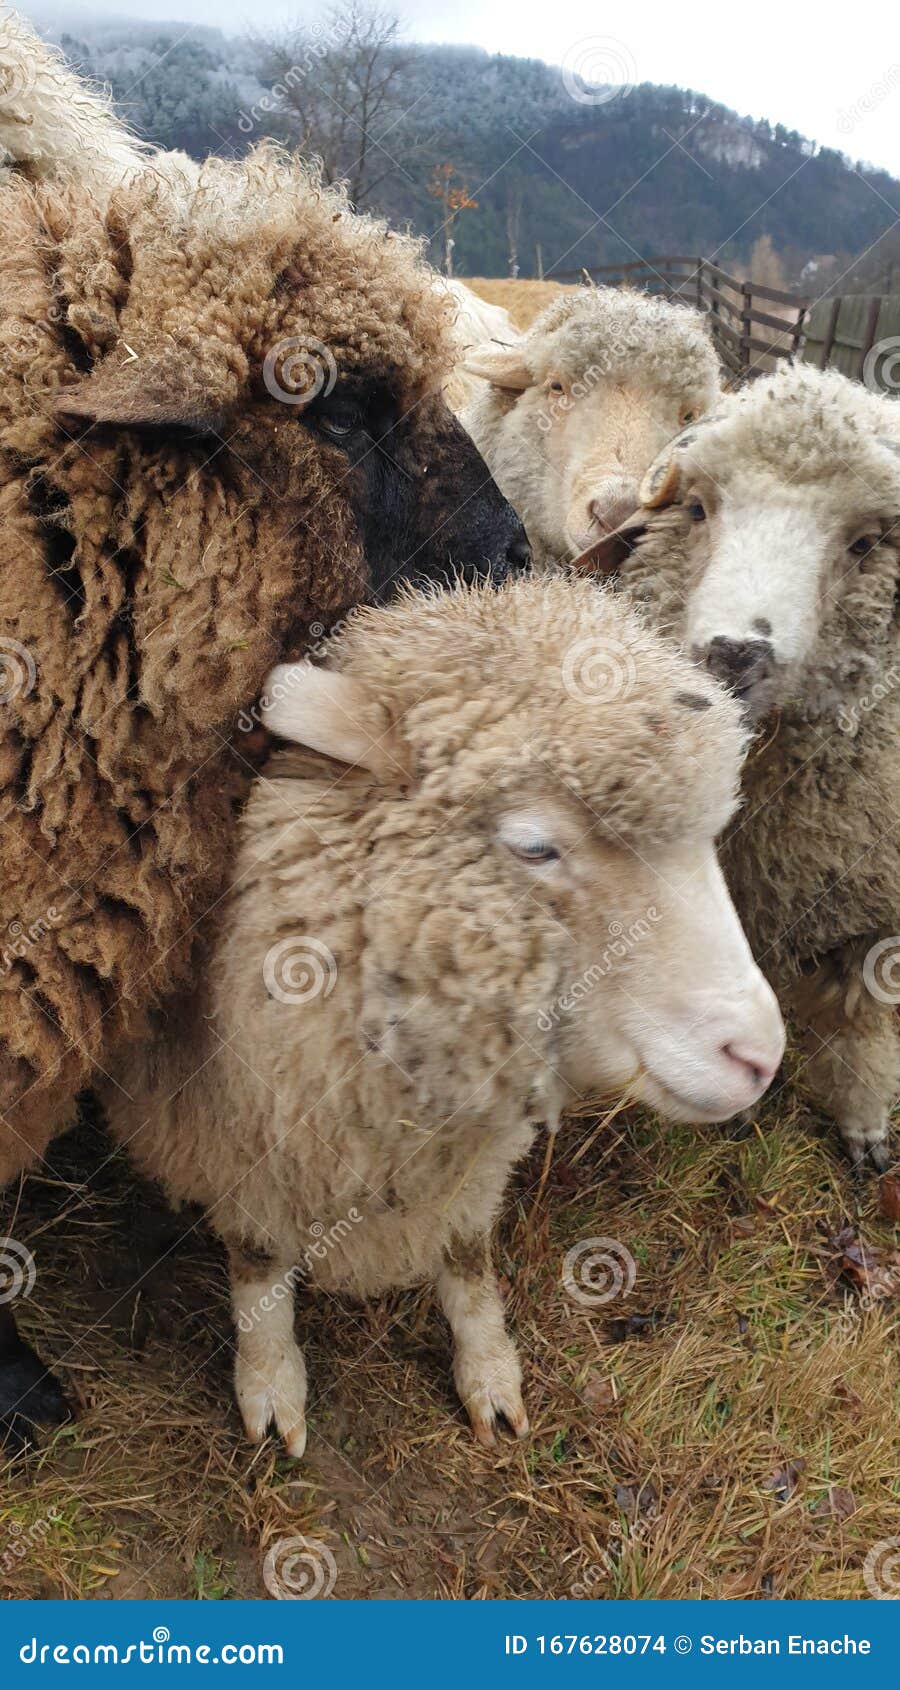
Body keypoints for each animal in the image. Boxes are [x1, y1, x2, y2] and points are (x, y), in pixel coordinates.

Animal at [102, 575, 784, 1454]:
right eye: (534, 846)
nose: (759, 1057)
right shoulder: (234, 1127)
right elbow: (257, 1259)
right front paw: (270, 1379)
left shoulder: (468, 1165)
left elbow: (465, 1253)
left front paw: (488, 1370)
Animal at [573, 361, 900, 1170]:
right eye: (697, 508)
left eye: (866, 543)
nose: (732, 653)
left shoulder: (878, 920)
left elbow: (864, 1028)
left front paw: (865, 1125)